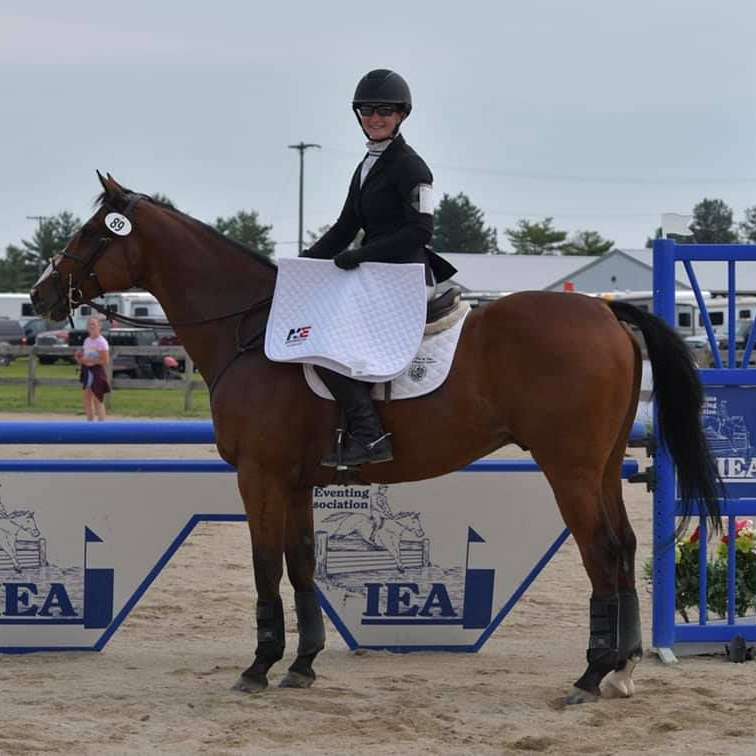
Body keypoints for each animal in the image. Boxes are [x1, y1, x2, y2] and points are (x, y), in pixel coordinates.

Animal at [30, 173, 720, 703]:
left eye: (91, 233)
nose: (40, 296)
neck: (248, 331)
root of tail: (605, 309)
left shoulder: (258, 476)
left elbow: (264, 564)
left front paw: (259, 667)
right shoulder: (296, 481)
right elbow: (301, 564)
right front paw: (303, 664)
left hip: (568, 469)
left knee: (600, 552)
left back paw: (591, 675)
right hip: (601, 466)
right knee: (624, 546)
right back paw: (622, 670)